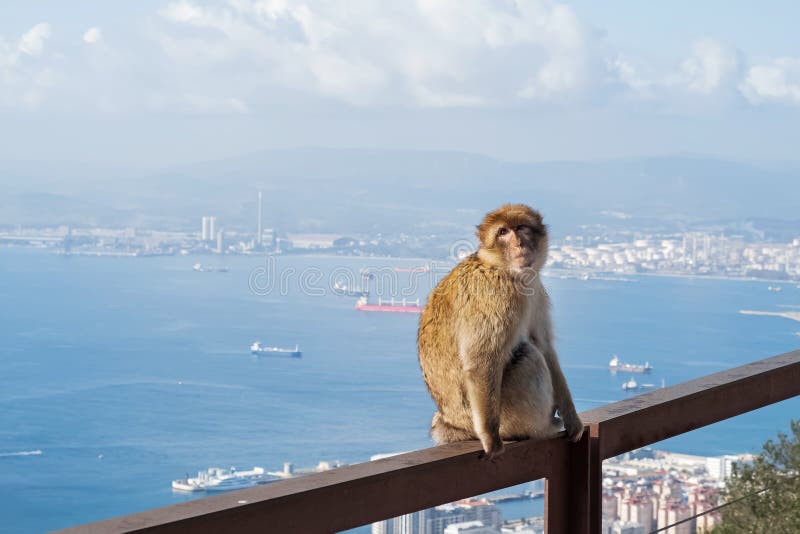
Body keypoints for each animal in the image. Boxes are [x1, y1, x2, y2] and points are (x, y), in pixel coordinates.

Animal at [417, 204, 583, 459]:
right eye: (503, 232)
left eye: (522, 228)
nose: (519, 243)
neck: (506, 270)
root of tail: (452, 423)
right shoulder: (495, 294)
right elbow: (482, 361)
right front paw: (490, 439)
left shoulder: (535, 290)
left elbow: (544, 346)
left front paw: (571, 417)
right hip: (506, 416)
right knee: (528, 357)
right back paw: (543, 426)